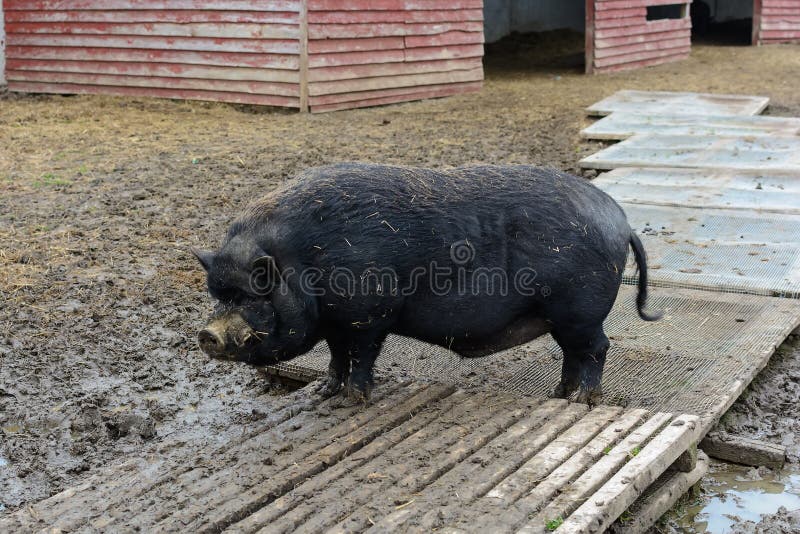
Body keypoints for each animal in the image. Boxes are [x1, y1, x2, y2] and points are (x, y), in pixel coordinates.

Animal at [194, 163, 660, 405]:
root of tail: (621, 221)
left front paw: (355, 400)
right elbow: (336, 356)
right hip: (562, 317)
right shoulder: (336, 324)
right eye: (217, 294)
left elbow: (361, 356)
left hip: (580, 309)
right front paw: (325, 392)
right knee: (572, 353)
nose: (206, 334)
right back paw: (557, 394)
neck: (302, 259)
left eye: (253, 295)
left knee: (598, 348)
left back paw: (584, 400)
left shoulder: (370, 314)